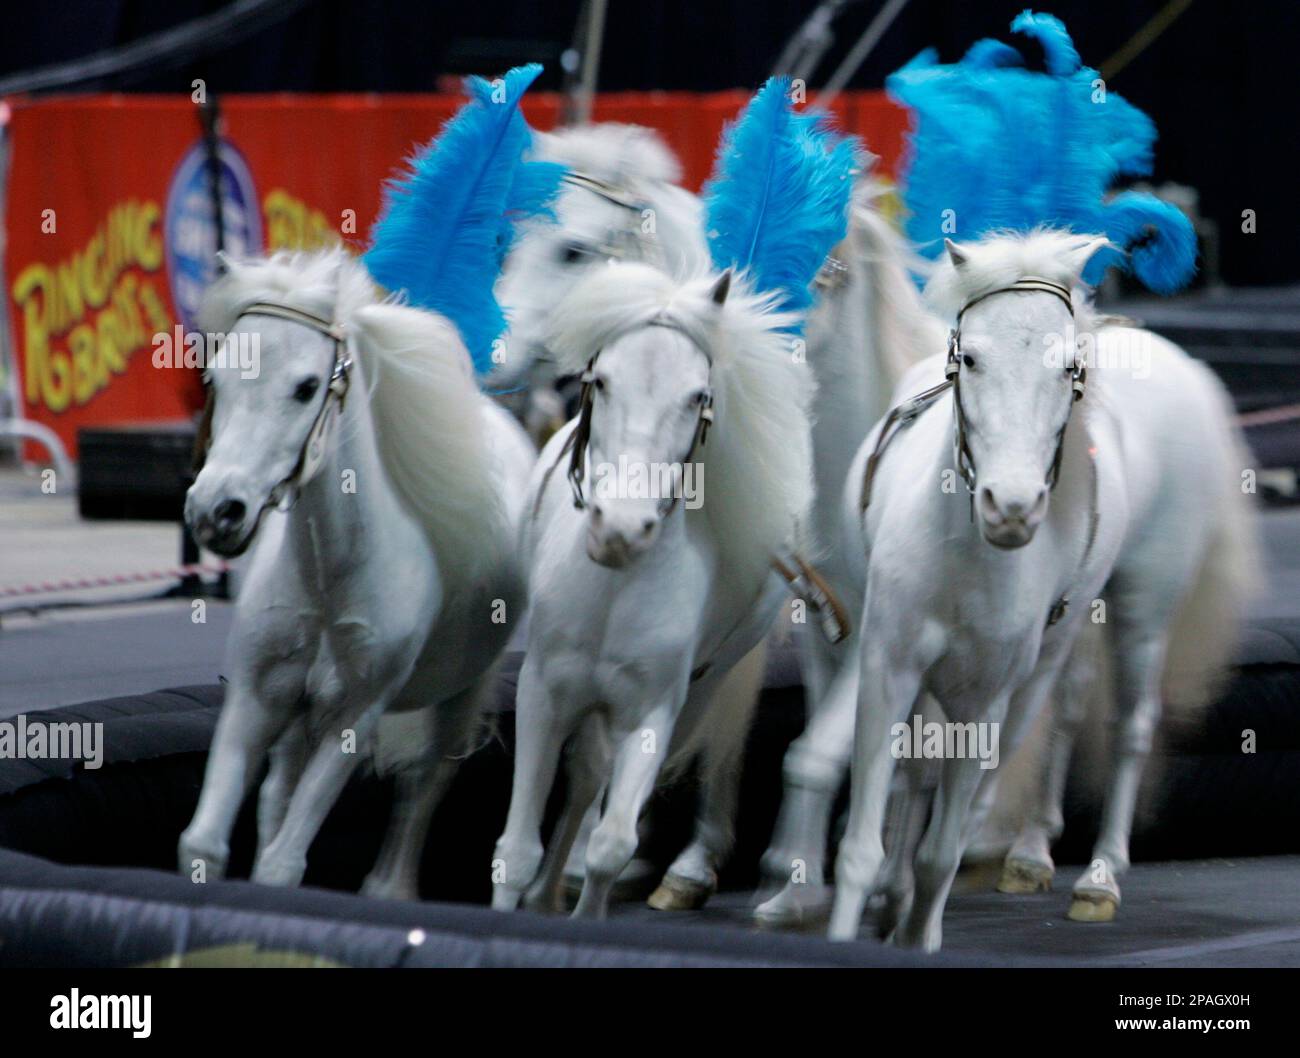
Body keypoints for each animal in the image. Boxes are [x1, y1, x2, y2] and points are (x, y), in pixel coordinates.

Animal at [179, 248, 534, 896]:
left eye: (306, 387)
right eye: (215, 378)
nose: (216, 511)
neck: (329, 573)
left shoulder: (354, 716)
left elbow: (284, 861)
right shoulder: (256, 696)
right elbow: (205, 844)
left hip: (459, 695)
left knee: (423, 784)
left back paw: (390, 886)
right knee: (277, 793)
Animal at [490, 262, 815, 918]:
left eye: (698, 396)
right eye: (600, 381)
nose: (620, 528)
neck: (615, 587)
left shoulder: (652, 711)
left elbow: (612, 845)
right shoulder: (542, 690)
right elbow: (516, 849)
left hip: (699, 689)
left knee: (596, 784)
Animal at [827, 230, 1259, 950]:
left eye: (1068, 367)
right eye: (970, 357)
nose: (1013, 508)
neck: (965, 554)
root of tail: (1186, 367)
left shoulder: (984, 695)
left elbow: (940, 851)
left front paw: (918, 928)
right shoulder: (891, 666)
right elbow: (876, 823)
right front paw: (875, 908)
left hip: (1142, 610)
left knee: (1128, 724)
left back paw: (1099, 879)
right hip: (1068, 630)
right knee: (1067, 704)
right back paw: (1027, 856)